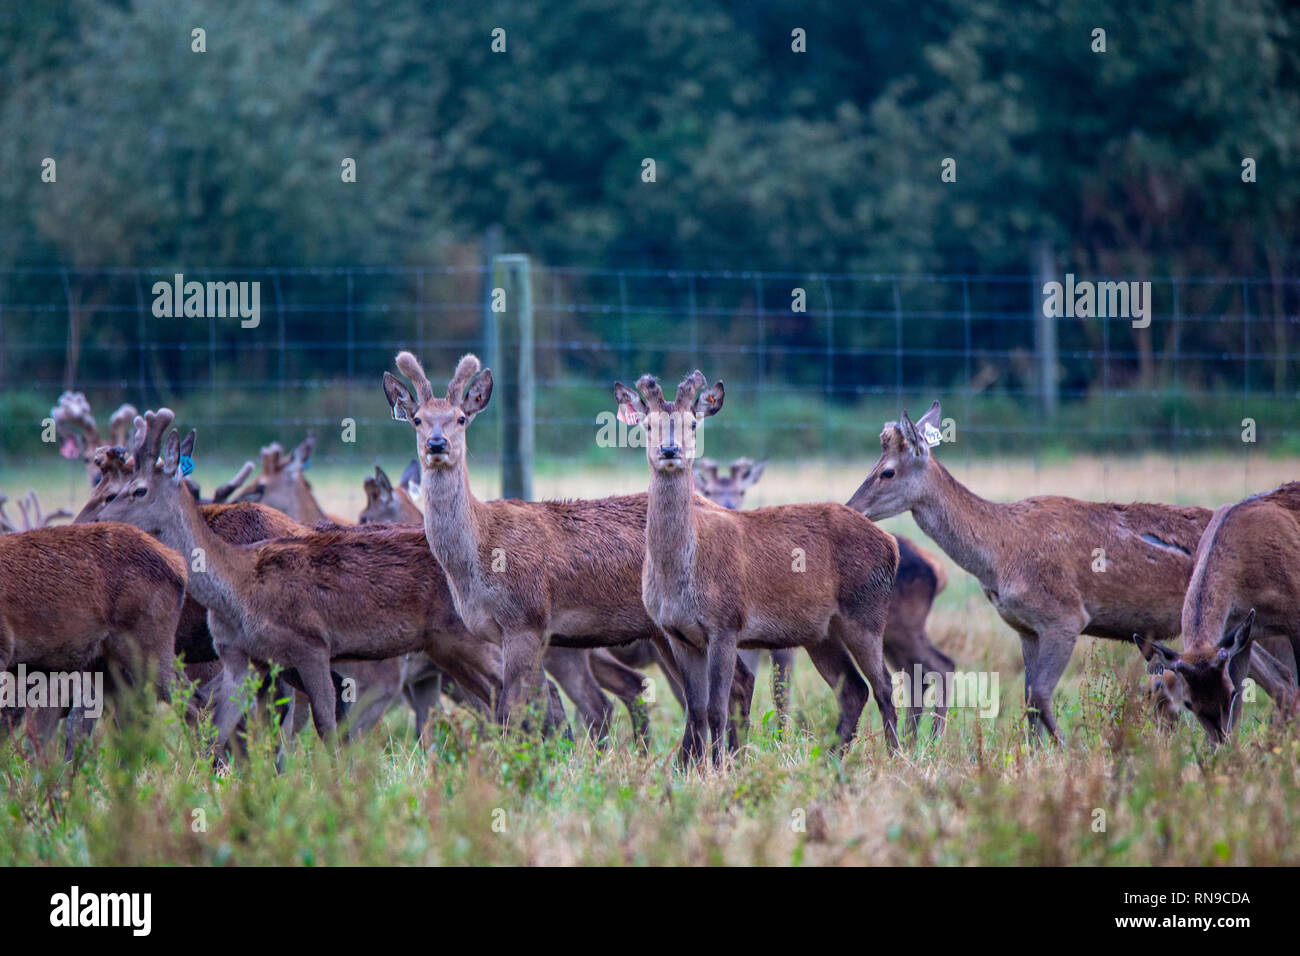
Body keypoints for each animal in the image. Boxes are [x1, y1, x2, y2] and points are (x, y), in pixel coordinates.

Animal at [0, 521, 184, 757]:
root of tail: (179, 565)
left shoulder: (3, 649)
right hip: (103, 664)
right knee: (131, 719)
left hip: (150, 645)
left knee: (189, 700)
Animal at [382, 351, 756, 747]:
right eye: (417, 419)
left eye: (460, 418)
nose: (437, 444)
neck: (478, 557)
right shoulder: (510, 633)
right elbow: (530, 709)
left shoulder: (525, 619)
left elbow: (516, 709)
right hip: (666, 631)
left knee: (736, 683)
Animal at [616, 370, 900, 766]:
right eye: (647, 424)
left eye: (692, 422)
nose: (670, 450)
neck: (680, 575)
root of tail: (892, 544)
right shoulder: (676, 633)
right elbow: (696, 708)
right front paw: (701, 767)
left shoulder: (725, 623)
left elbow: (717, 708)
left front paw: (719, 768)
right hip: (821, 631)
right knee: (853, 689)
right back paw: (829, 760)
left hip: (866, 612)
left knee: (884, 685)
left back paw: (897, 757)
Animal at [695, 455, 957, 739]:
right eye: (707, 490)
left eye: (741, 491)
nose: (728, 505)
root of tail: (938, 569)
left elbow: (781, 689)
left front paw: (782, 736)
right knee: (913, 675)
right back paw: (914, 739)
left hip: (898, 625)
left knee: (938, 664)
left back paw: (930, 738)